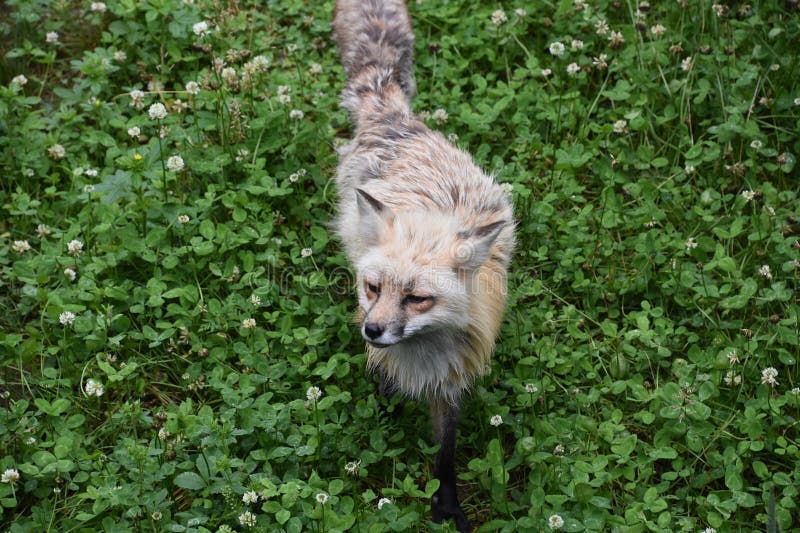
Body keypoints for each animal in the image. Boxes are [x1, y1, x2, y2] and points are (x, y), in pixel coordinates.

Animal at [332, 1, 515, 530]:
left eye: (417, 298)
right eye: (372, 288)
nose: (371, 331)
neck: (422, 354)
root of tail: (397, 120)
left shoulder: (452, 379)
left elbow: (445, 453)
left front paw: (446, 505)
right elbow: (383, 389)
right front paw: (382, 417)